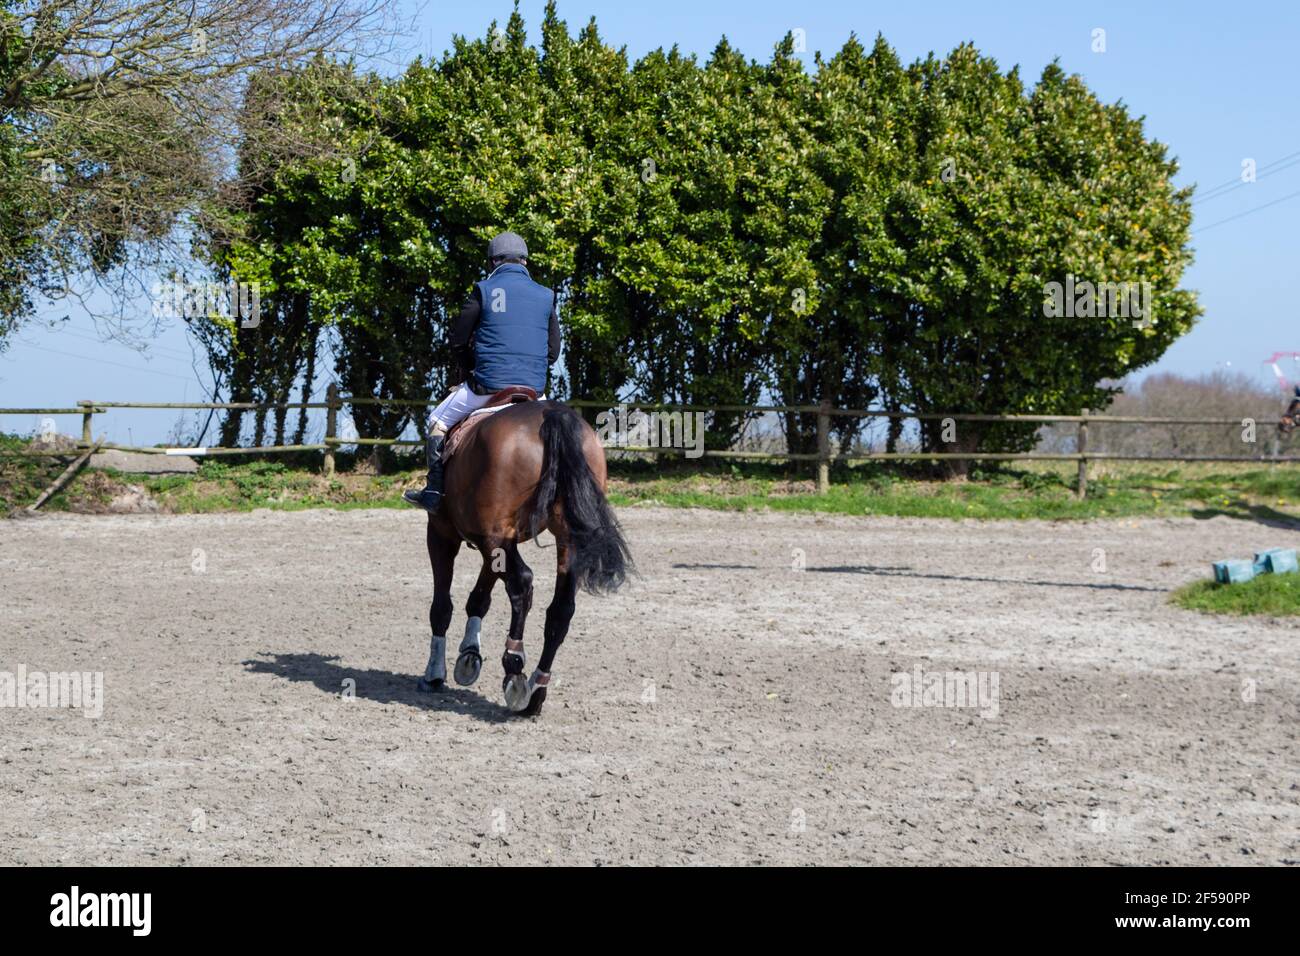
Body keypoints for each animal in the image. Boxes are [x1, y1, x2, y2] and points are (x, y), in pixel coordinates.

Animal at [415, 397, 631, 716]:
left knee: (523, 584)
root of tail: (551, 415)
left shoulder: (444, 534)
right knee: (561, 609)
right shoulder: (493, 545)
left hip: (493, 538)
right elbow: (479, 599)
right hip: (563, 539)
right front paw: (469, 656)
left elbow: (442, 607)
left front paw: (434, 674)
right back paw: (537, 690)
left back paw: (515, 670)